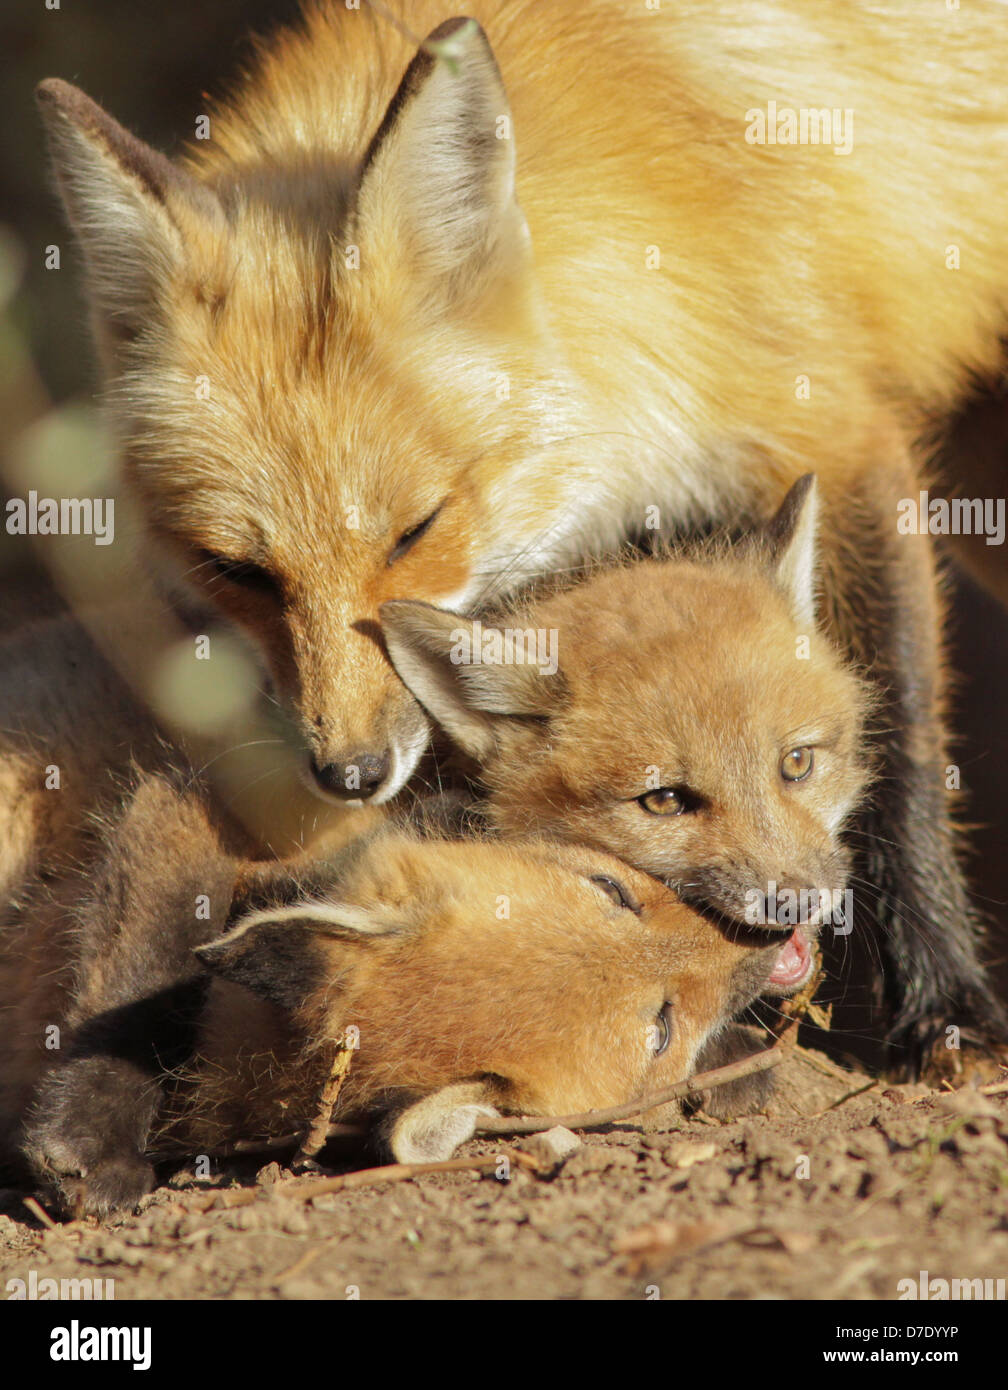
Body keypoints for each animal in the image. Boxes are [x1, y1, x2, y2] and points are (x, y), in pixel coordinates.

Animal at [3, 767, 803, 1216]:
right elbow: (135, 990)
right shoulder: (174, 826)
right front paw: (90, 1138)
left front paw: (739, 1060)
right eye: (661, 1029)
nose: (766, 940)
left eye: (614, 888)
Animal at [32, 0, 1008, 1065]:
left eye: (415, 531)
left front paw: (943, 999)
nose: (351, 774)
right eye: (236, 571)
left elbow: (902, 737)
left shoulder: (835, 433)